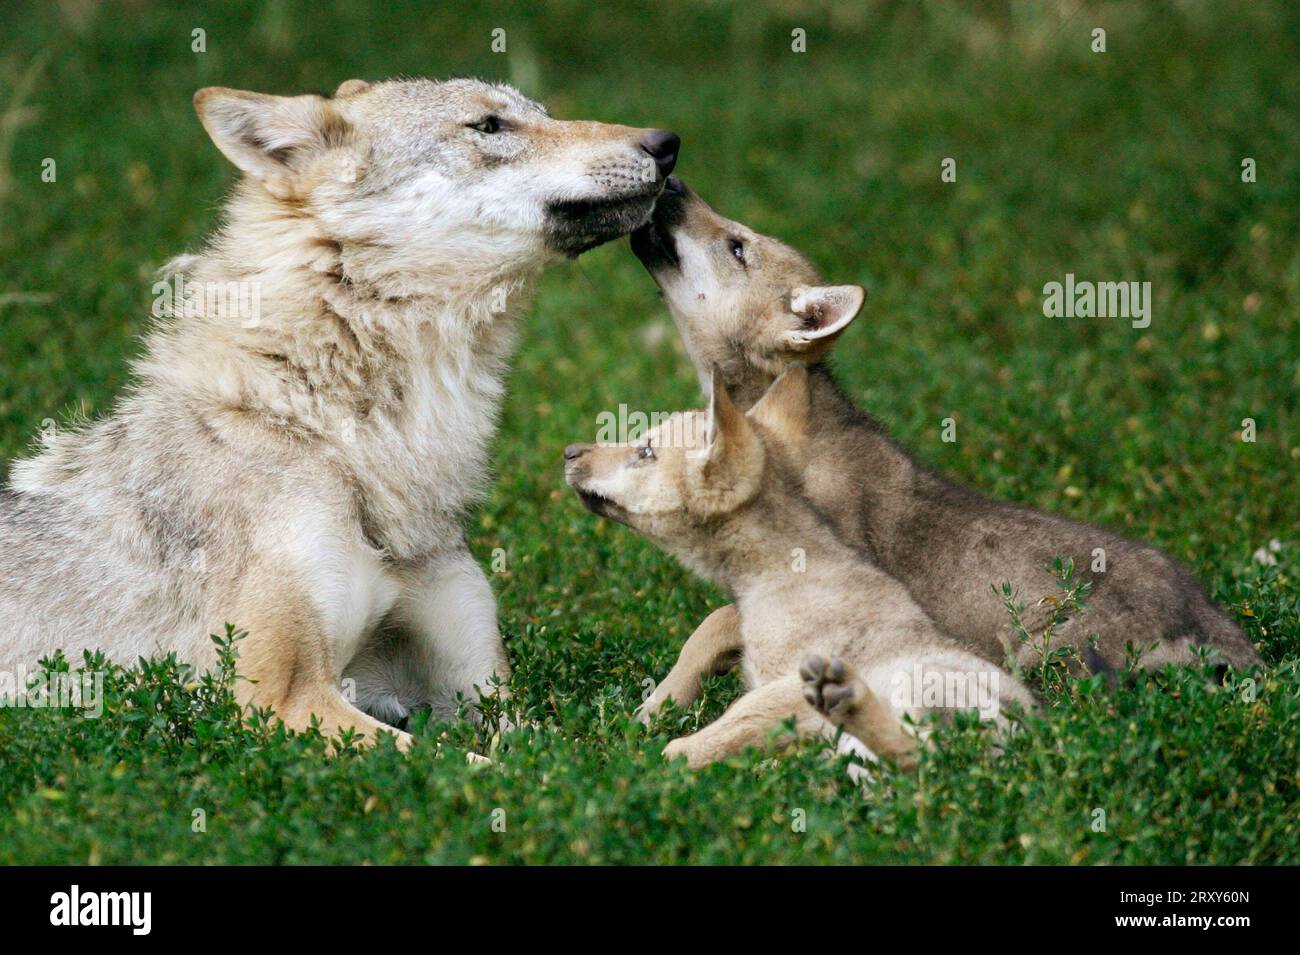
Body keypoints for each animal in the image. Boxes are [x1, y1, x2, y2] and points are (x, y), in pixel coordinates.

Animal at [0, 77, 679, 748]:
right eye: (488, 126)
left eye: (543, 113)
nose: (666, 142)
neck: (335, 441)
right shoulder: (280, 700)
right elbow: (454, 763)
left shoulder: (485, 695)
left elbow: (562, 754)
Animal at [565, 367, 1036, 771]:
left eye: (645, 451)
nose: (569, 452)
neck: (776, 578)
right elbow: (712, 628)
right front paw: (657, 704)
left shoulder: (787, 681)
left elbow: (725, 722)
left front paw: (647, 747)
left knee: (922, 757)